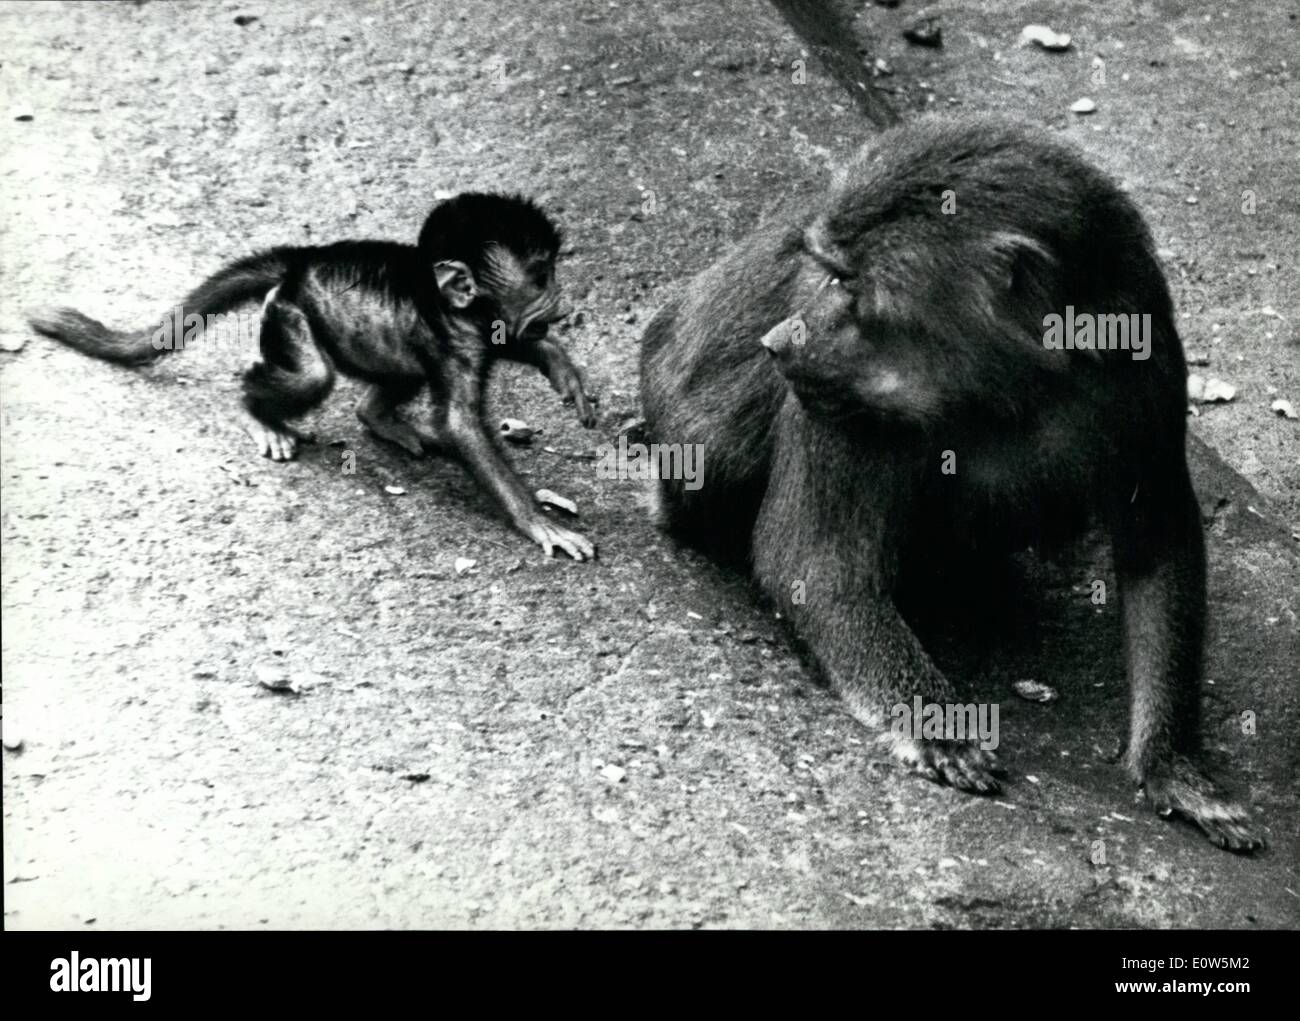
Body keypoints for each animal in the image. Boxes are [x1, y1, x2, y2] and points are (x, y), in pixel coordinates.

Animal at [29, 192, 597, 560]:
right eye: (540, 277)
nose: (560, 299)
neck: (455, 309)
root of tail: (299, 263)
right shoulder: (452, 340)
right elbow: (460, 423)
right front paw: (537, 521)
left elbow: (517, 340)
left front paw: (559, 364)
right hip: (289, 314)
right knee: (310, 377)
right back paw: (255, 412)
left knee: (395, 368)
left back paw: (378, 416)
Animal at [640, 116, 1263, 852]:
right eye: (828, 274)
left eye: (851, 286)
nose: (779, 342)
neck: (1006, 384)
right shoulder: (833, 393)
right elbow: (817, 565)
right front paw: (934, 722)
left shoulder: (1142, 364)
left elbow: (1156, 544)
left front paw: (1173, 766)